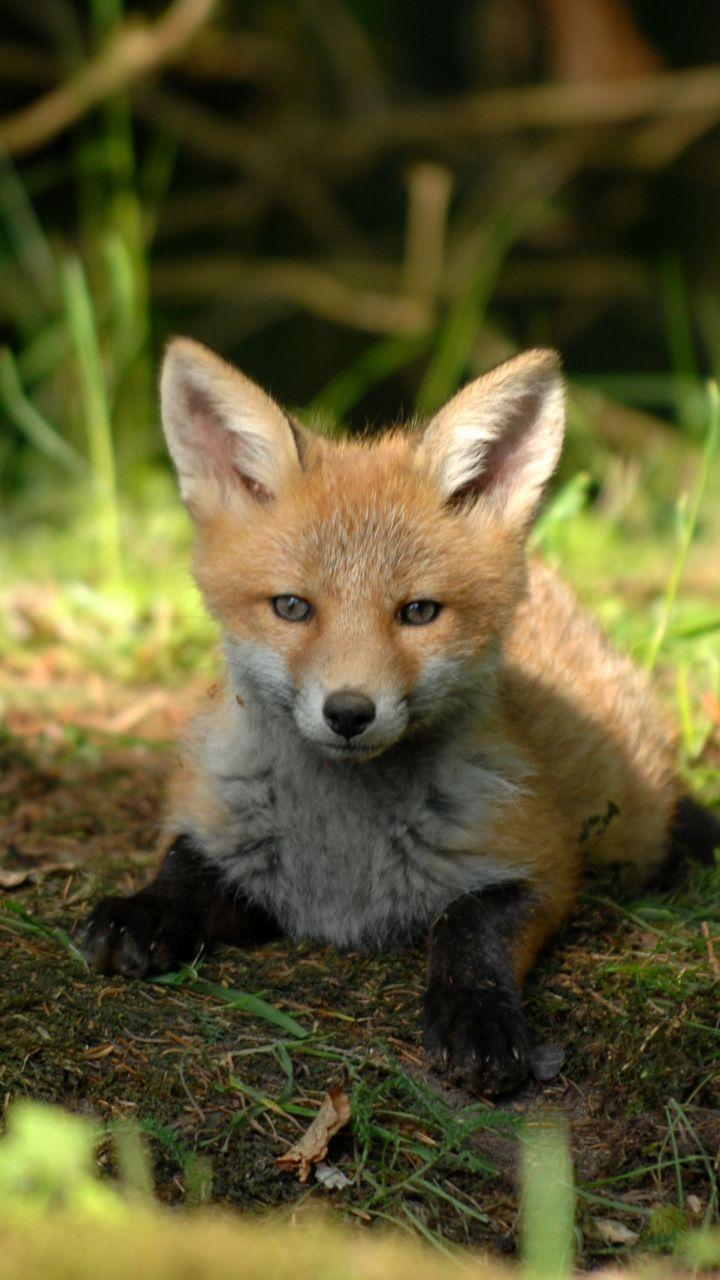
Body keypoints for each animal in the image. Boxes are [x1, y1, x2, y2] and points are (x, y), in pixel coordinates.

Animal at [81, 339, 720, 1095]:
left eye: (418, 612)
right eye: (292, 607)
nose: (349, 712)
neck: (341, 858)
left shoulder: (541, 861)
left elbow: (466, 926)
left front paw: (476, 1014)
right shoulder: (224, 830)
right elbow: (184, 867)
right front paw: (142, 910)